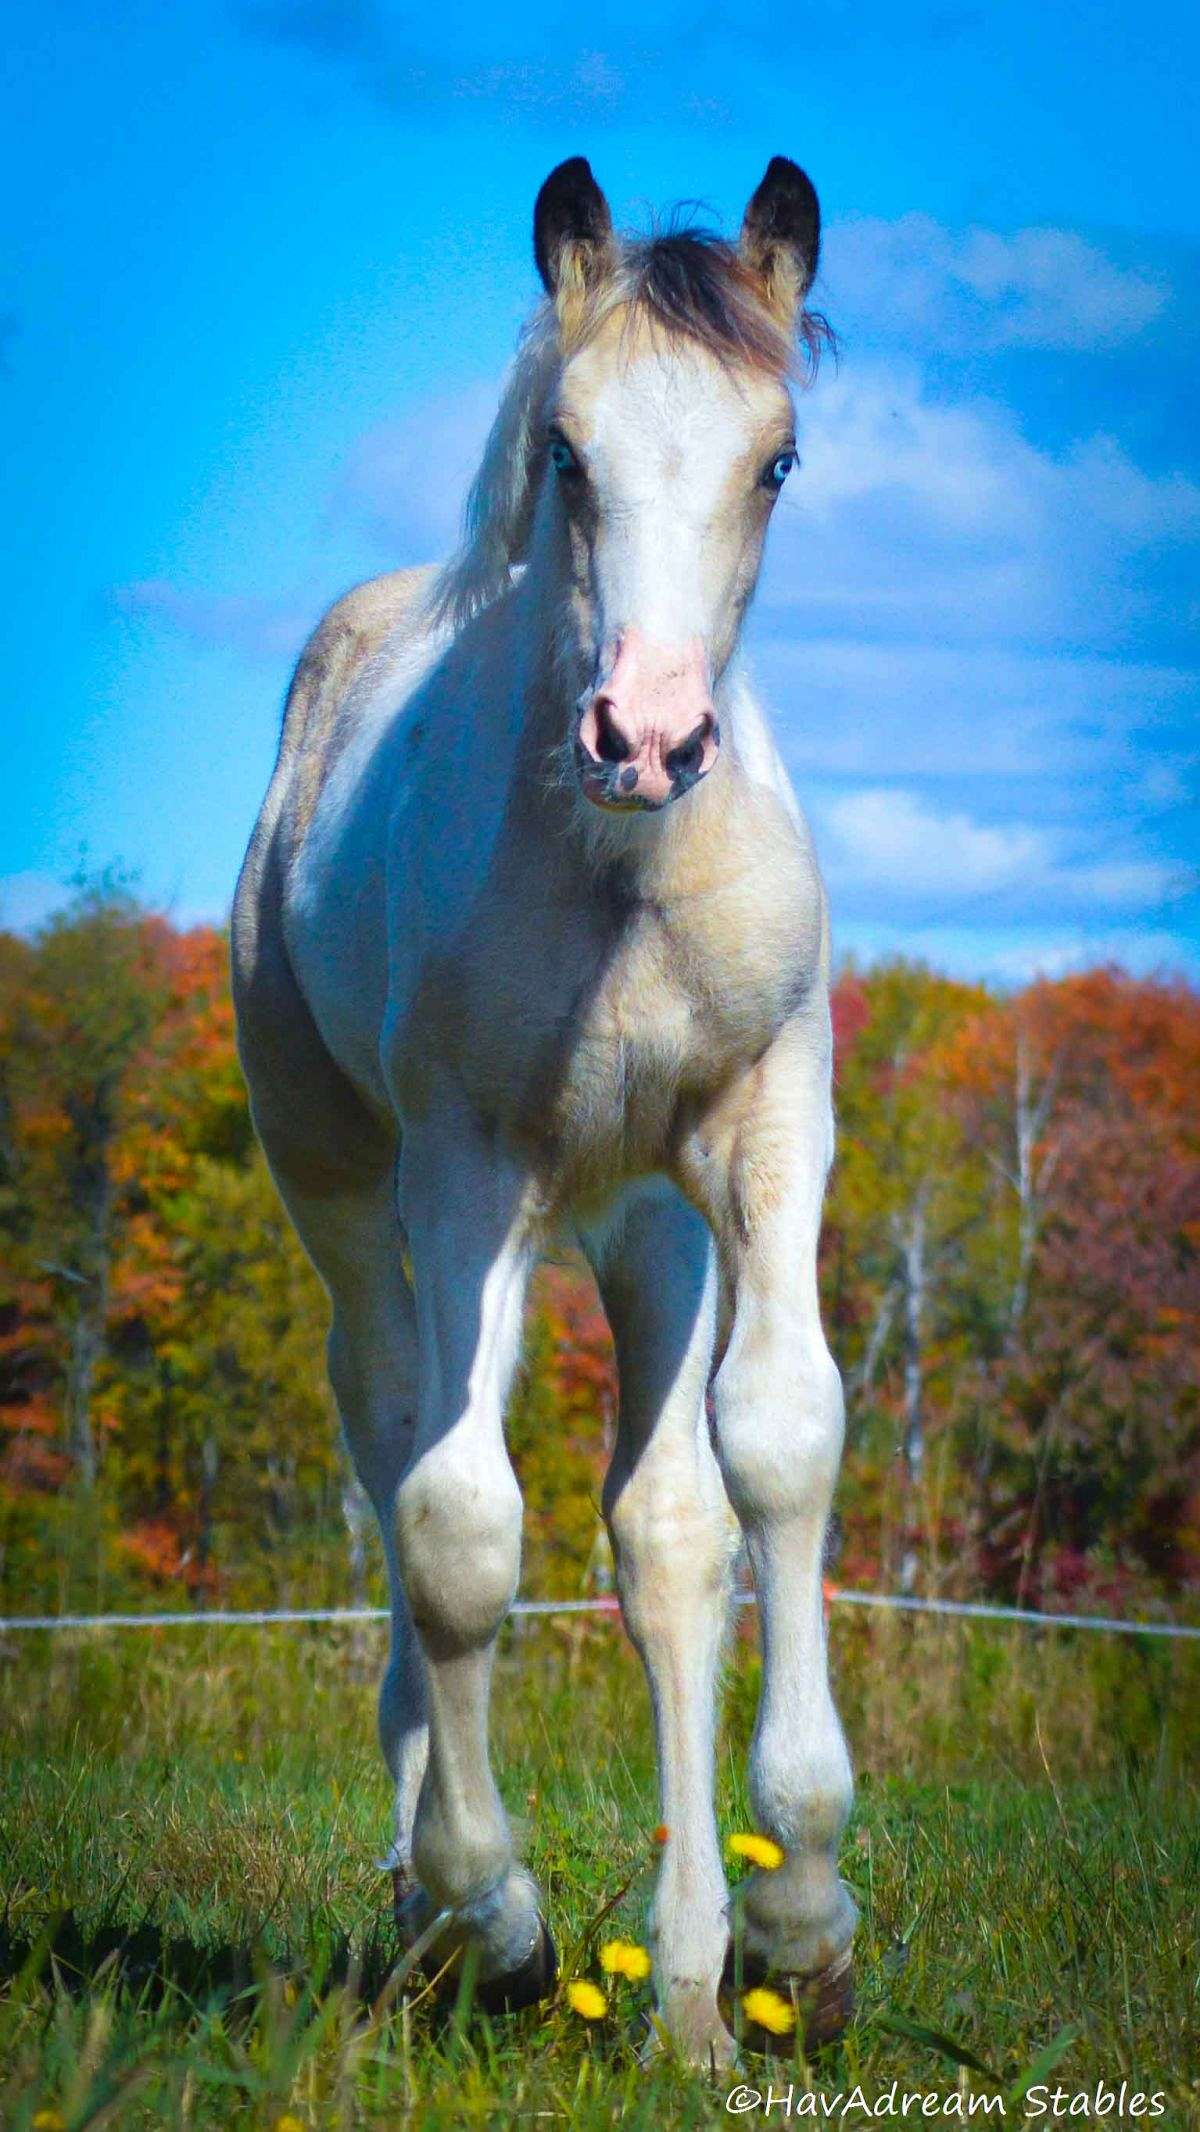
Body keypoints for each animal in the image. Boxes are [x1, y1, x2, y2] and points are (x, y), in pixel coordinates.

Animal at [232, 153, 857, 2067]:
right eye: (567, 451)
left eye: (776, 457)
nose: (645, 735)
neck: (620, 876)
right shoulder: (465, 1175)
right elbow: (455, 1531)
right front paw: (494, 1911)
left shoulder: (762, 1134)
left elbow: (773, 1448)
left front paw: (800, 1923)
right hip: (354, 1195)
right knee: (388, 1441)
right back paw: (443, 1899)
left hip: (644, 1221)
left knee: (664, 1537)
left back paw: (691, 1993)